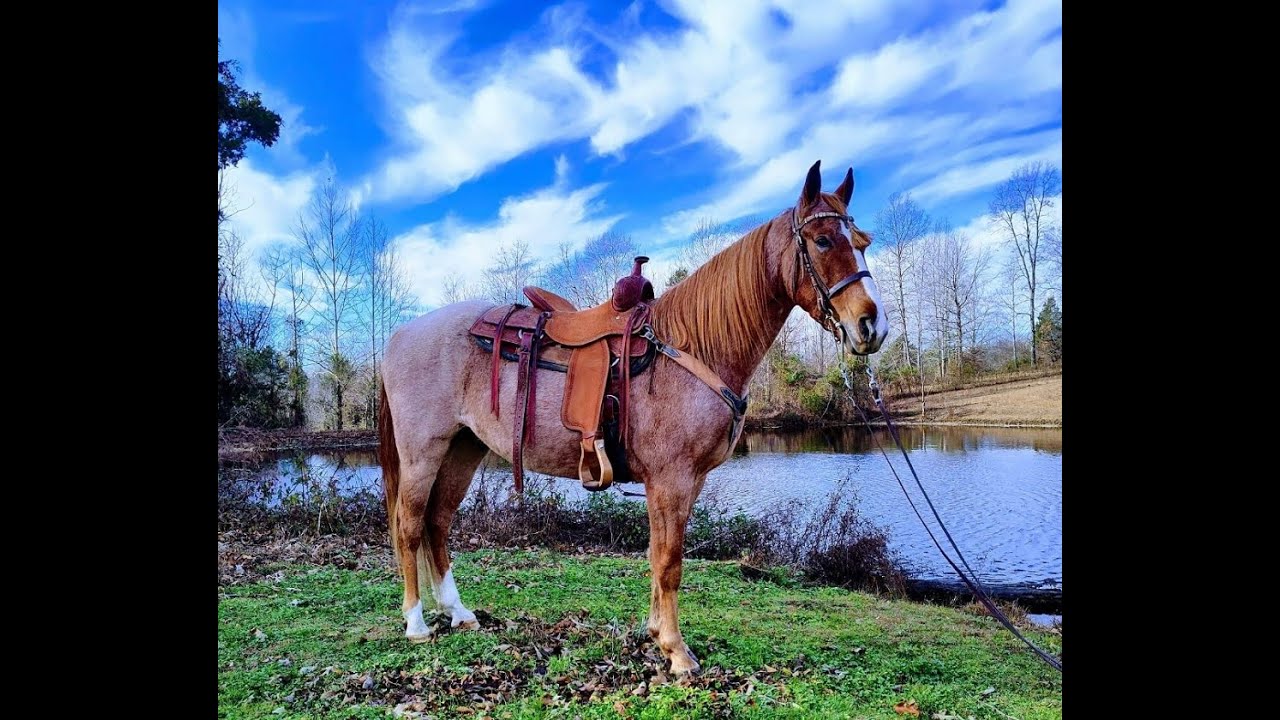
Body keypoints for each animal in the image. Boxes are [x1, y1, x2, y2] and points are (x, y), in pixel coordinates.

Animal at [377, 159, 888, 676]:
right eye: (822, 241)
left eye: (862, 242)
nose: (872, 325)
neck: (690, 347)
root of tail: (401, 335)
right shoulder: (671, 479)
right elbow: (669, 561)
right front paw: (677, 652)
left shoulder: (683, 482)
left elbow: (656, 555)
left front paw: (656, 633)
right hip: (423, 453)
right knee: (410, 524)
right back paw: (416, 622)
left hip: (464, 447)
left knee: (438, 522)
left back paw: (458, 612)